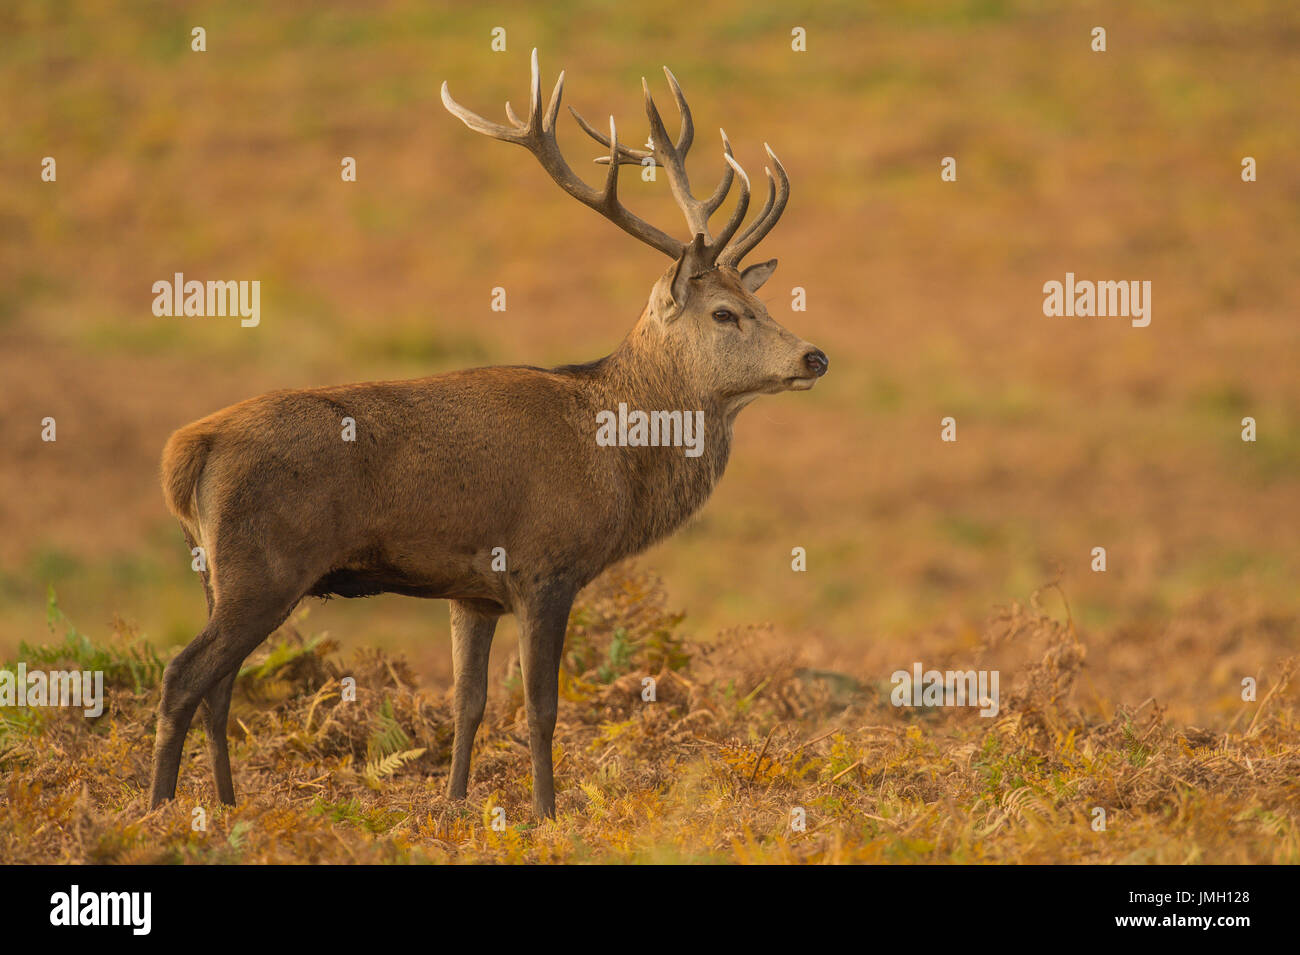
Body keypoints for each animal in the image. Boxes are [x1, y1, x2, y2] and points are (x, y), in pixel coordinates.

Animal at [148, 50, 827, 819]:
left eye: (758, 301)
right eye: (723, 313)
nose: (814, 357)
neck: (617, 454)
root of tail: (186, 451)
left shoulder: (470, 589)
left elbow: (467, 703)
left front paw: (454, 803)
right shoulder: (545, 565)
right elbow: (541, 707)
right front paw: (546, 813)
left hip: (214, 569)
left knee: (219, 686)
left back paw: (228, 804)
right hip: (263, 563)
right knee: (183, 673)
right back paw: (159, 809)